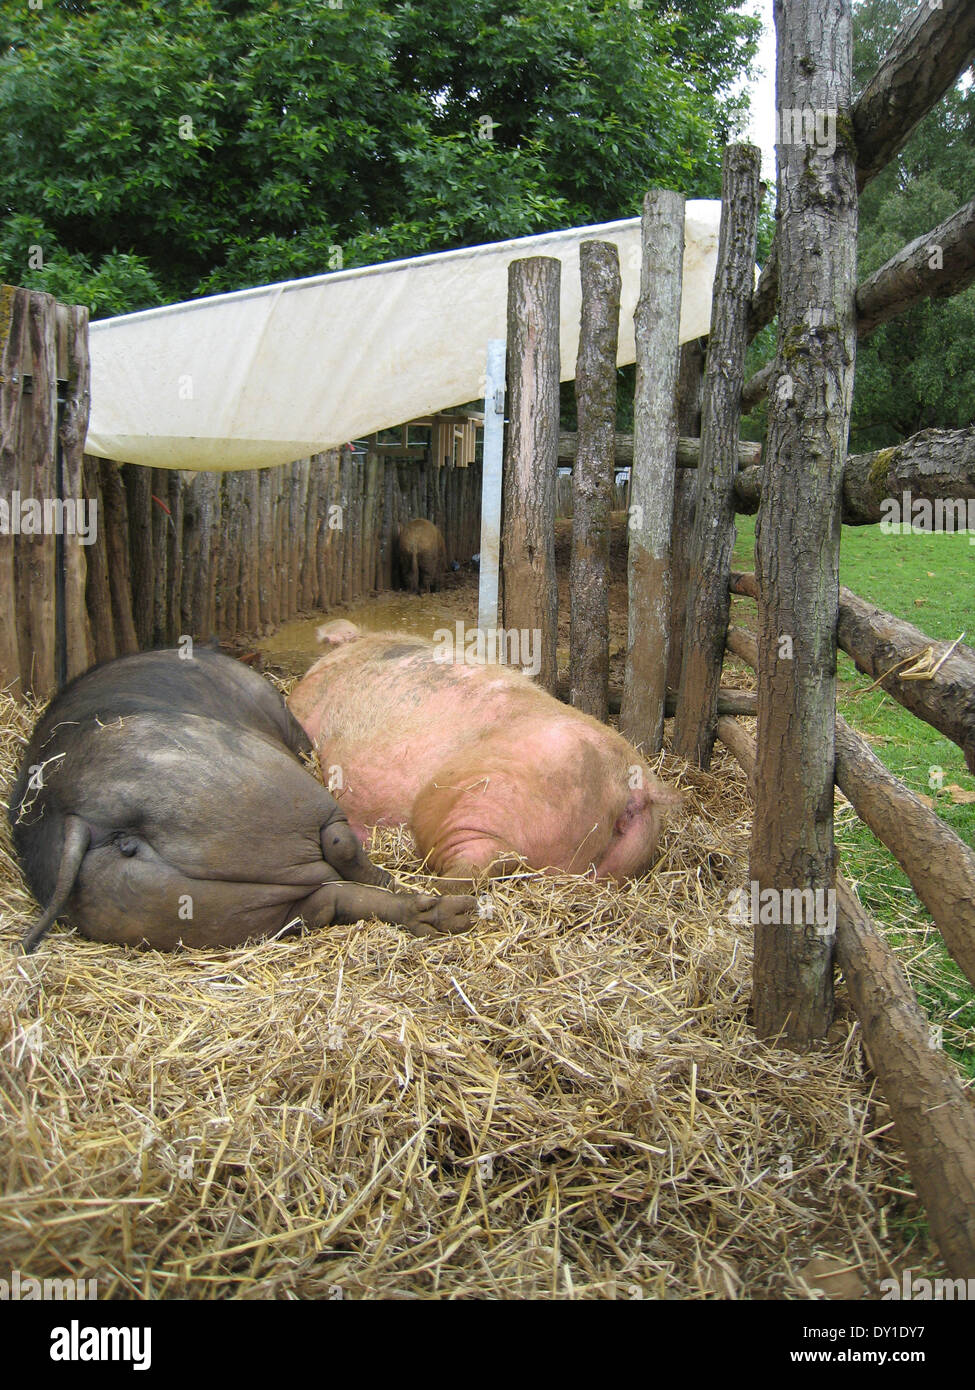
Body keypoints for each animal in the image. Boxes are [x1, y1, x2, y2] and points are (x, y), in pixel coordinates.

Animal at [9, 646, 473, 952]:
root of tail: (84, 817)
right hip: (263, 788)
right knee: (339, 845)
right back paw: (415, 891)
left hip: (175, 908)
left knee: (325, 901)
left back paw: (445, 913)